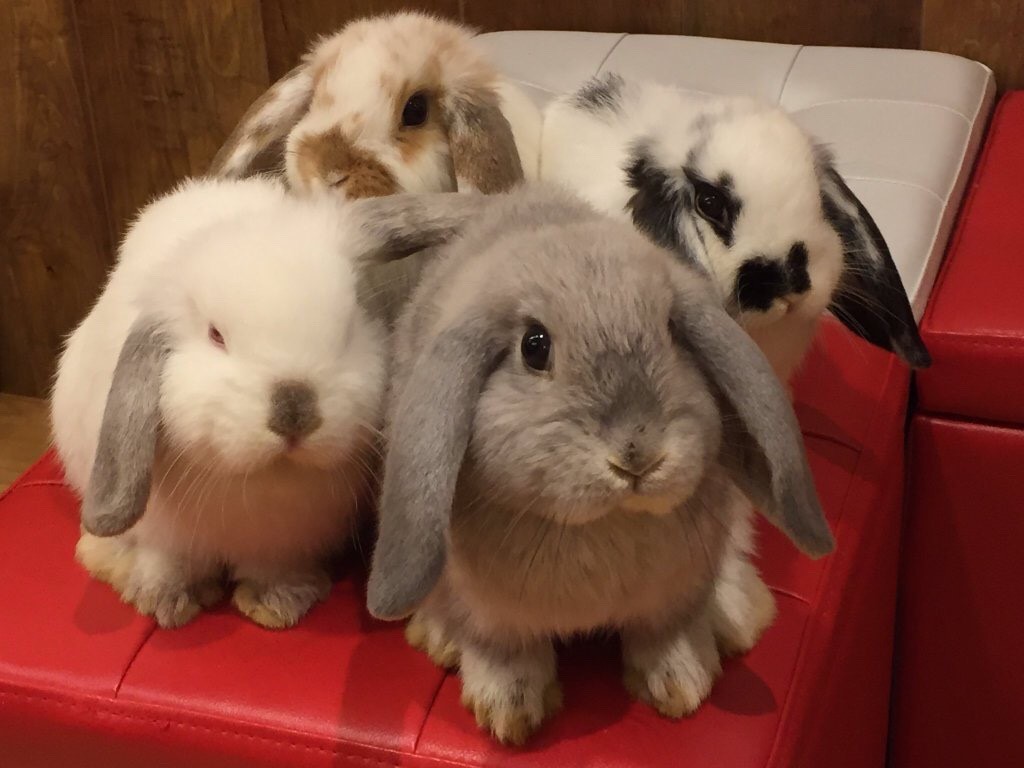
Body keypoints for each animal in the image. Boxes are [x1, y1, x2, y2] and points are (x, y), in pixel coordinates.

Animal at [51, 175, 473, 629]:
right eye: (216, 336)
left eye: (349, 325)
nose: (295, 413)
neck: (260, 480)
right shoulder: (164, 534)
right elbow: (168, 561)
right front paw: (168, 601)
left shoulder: (284, 540)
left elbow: (273, 569)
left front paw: (278, 602)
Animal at [361, 185, 834, 745]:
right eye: (534, 346)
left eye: (671, 331)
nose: (637, 454)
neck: (603, 526)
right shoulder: (488, 612)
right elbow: (506, 652)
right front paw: (510, 714)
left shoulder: (677, 592)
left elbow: (665, 633)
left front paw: (682, 686)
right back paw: (437, 634)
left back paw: (737, 615)